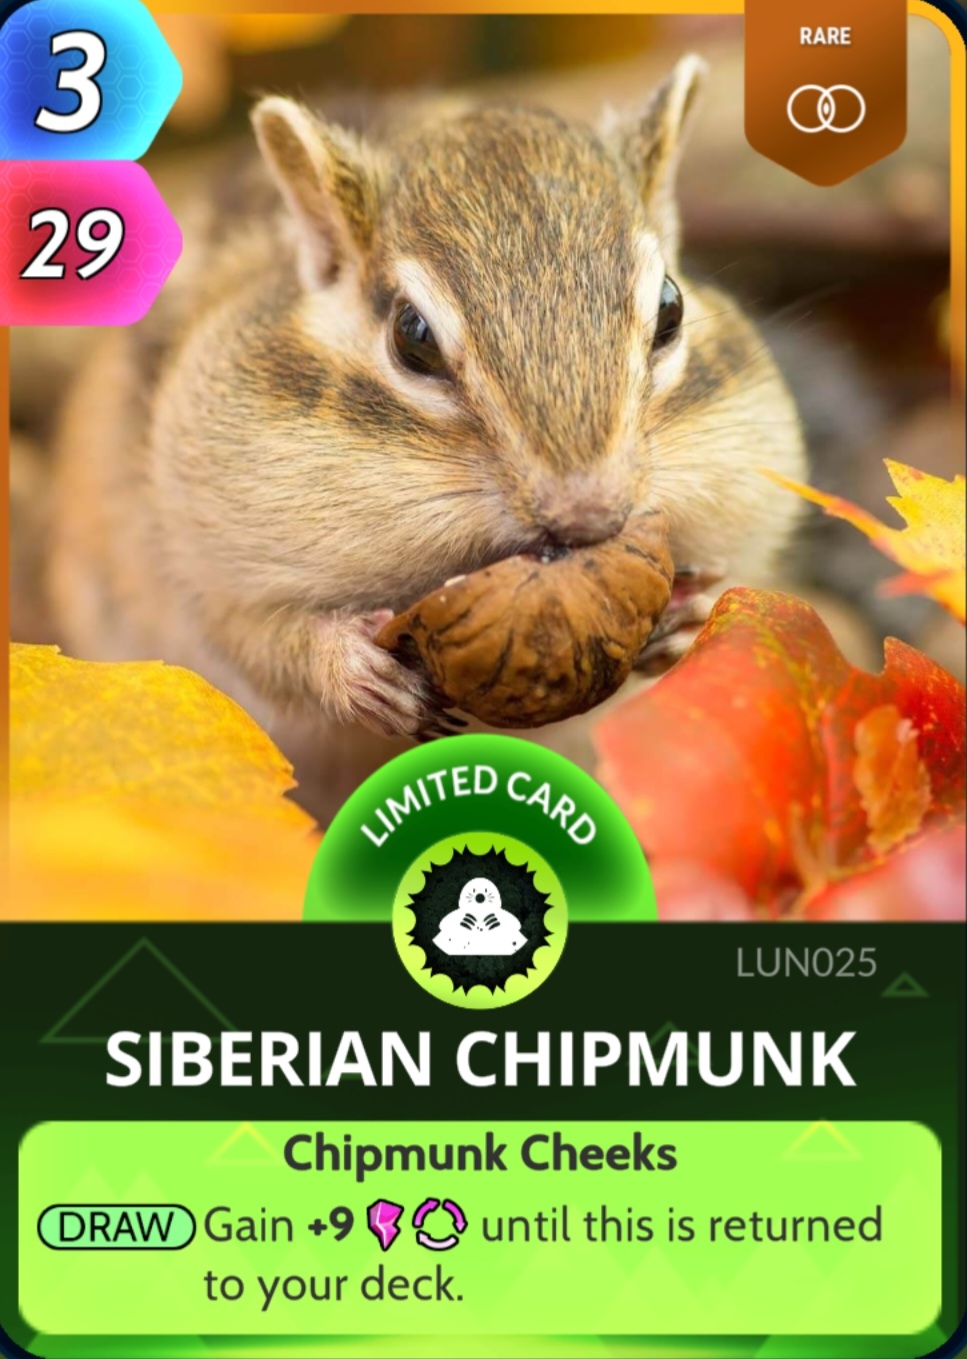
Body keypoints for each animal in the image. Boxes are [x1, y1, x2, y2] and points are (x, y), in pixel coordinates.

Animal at [48, 57, 806, 813]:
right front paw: (349, 667)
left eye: (671, 309)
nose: (588, 514)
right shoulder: (208, 562)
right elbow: (259, 641)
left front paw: (685, 614)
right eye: (412, 337)